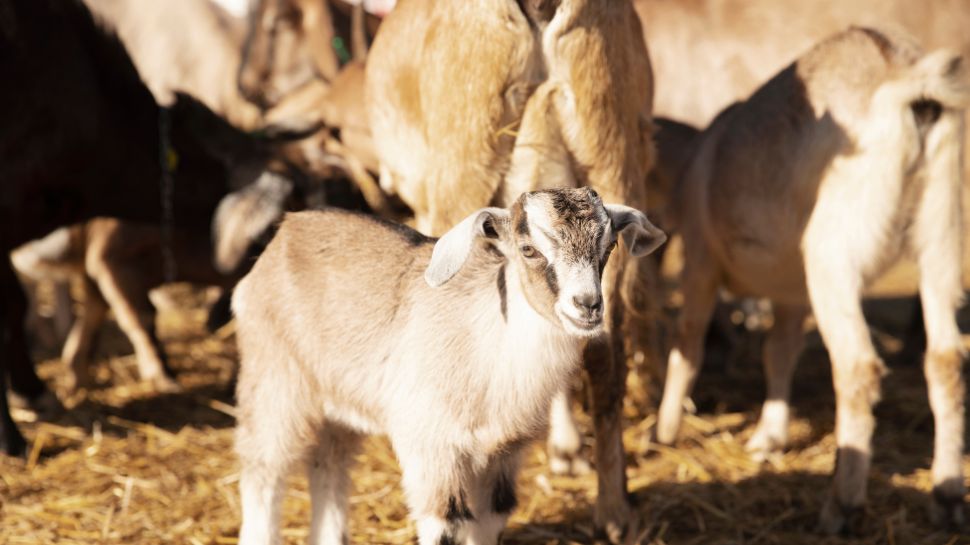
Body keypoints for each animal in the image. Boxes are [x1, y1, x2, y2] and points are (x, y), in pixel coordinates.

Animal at [233, 187, 664, 545]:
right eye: (528, 249)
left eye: (609, 246)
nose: (588, 305)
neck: (491, 343)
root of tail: (286, 231)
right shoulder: (432, 447)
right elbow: (445, 524)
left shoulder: (501, 455)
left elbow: (488, 523)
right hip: (273, 376)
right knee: (263, 469)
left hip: (337, 406)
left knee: (329, 467)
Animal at [653, 27, 969, 531]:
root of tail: (907, 82)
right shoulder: (791, 289)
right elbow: (780, 352)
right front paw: (769, 436)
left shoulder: (700, 261)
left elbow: (688, 343)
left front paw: (665, 429)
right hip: (941, 231)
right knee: (945, 360)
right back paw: (948, 494)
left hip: (835, 250)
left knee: (858, 367)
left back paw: (843, 504)